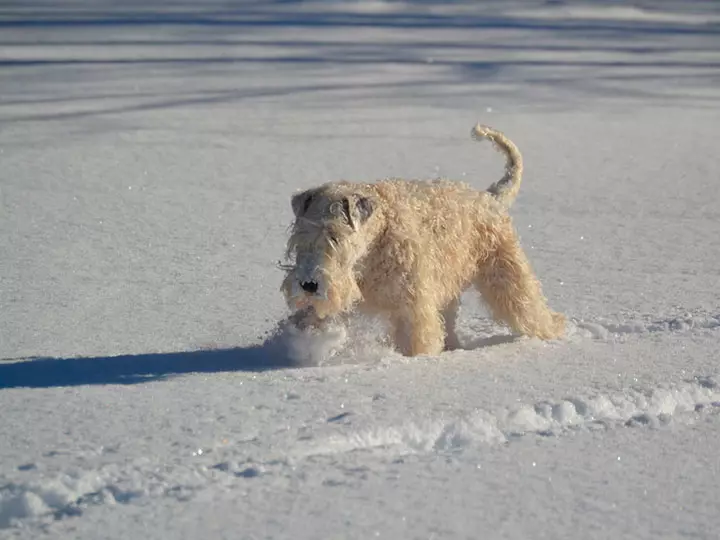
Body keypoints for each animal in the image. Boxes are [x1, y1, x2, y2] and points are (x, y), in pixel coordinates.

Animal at [278, 124, 564, 356]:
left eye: (335, 236)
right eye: (299, 237)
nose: (309, 284)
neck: (374, 246)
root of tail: (491, 197)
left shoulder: (412, 305)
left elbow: (417, 338)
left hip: (507, 274)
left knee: (529, 308)